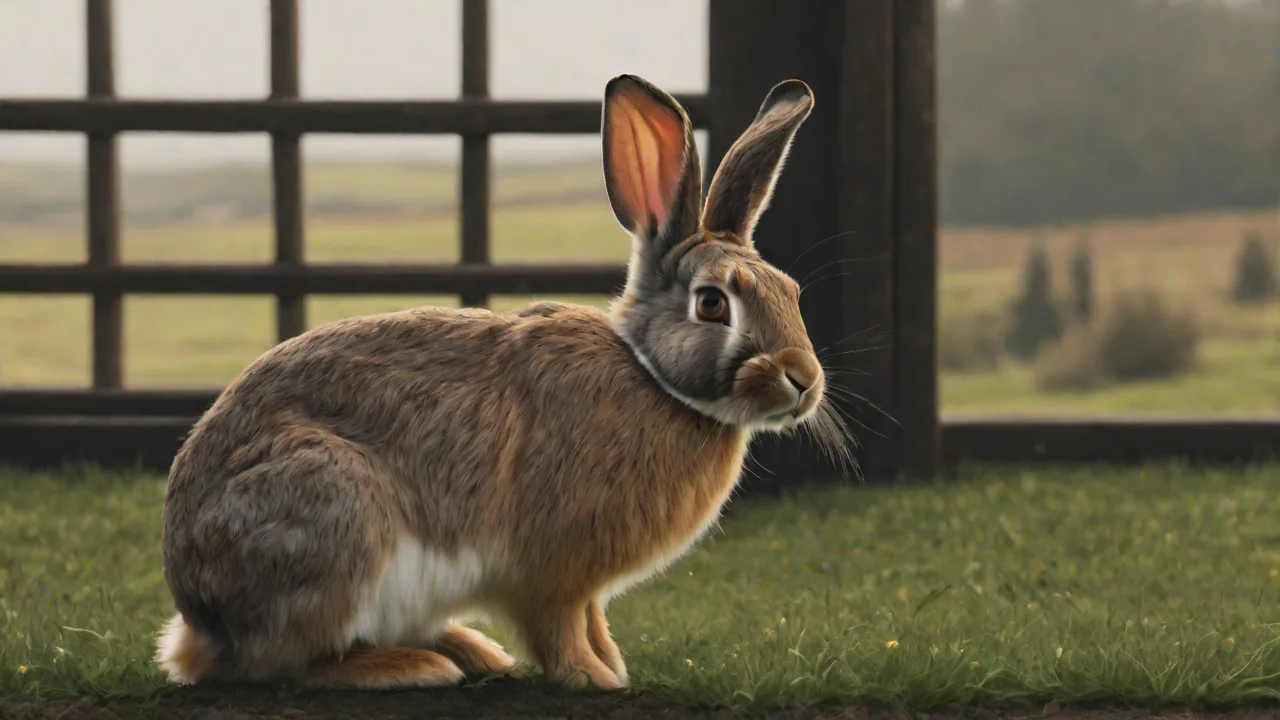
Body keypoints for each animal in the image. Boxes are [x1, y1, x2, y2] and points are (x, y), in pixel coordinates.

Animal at [154, 73, 847, 692]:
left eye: (790, 291)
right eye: (712, 304)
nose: (803, 381)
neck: (651, 377)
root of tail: (200, 618)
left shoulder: (582, 586)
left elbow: (593, 619)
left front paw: (612, 662)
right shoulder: (552, 571)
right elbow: (559, 626)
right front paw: (595, 679)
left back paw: (473, 651)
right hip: (333, 519)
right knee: (286, 664)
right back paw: (418, 667)